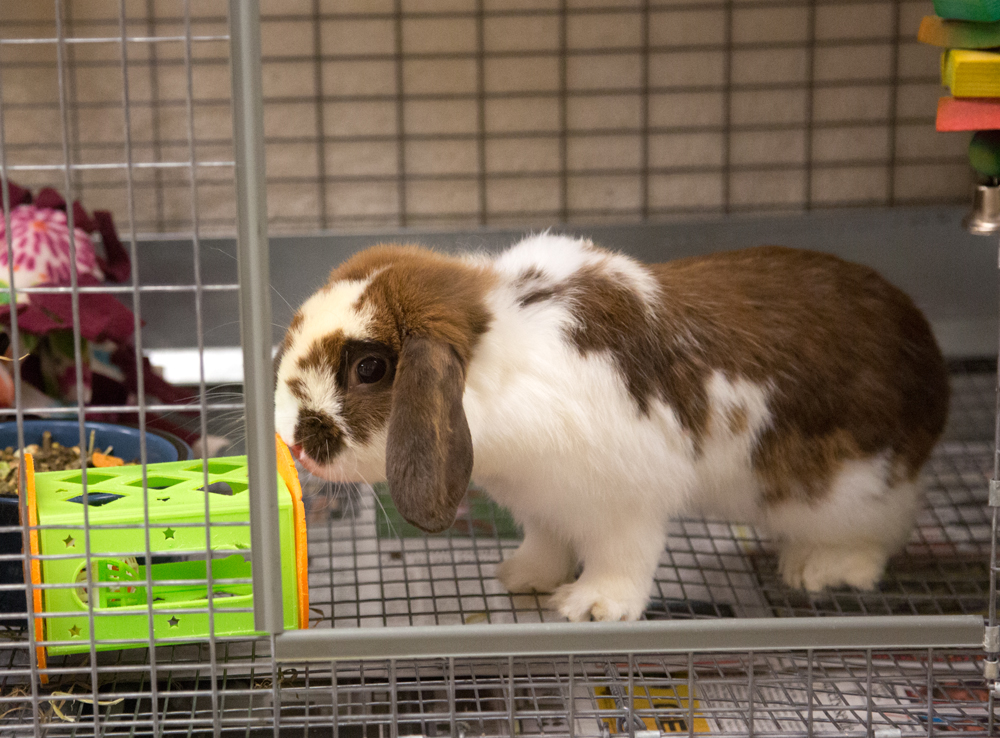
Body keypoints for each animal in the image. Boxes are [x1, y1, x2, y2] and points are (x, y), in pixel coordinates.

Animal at [274, 233, 949, 622]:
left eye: (369, 367)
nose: (295, 441)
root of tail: (931, 369)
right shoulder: (544, 504)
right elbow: (547, 542)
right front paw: (522, 578)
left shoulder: (627, 501)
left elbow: (623, 558)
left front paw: (591, 606)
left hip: (853, 490)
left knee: (881, 533)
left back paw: (819, 568)